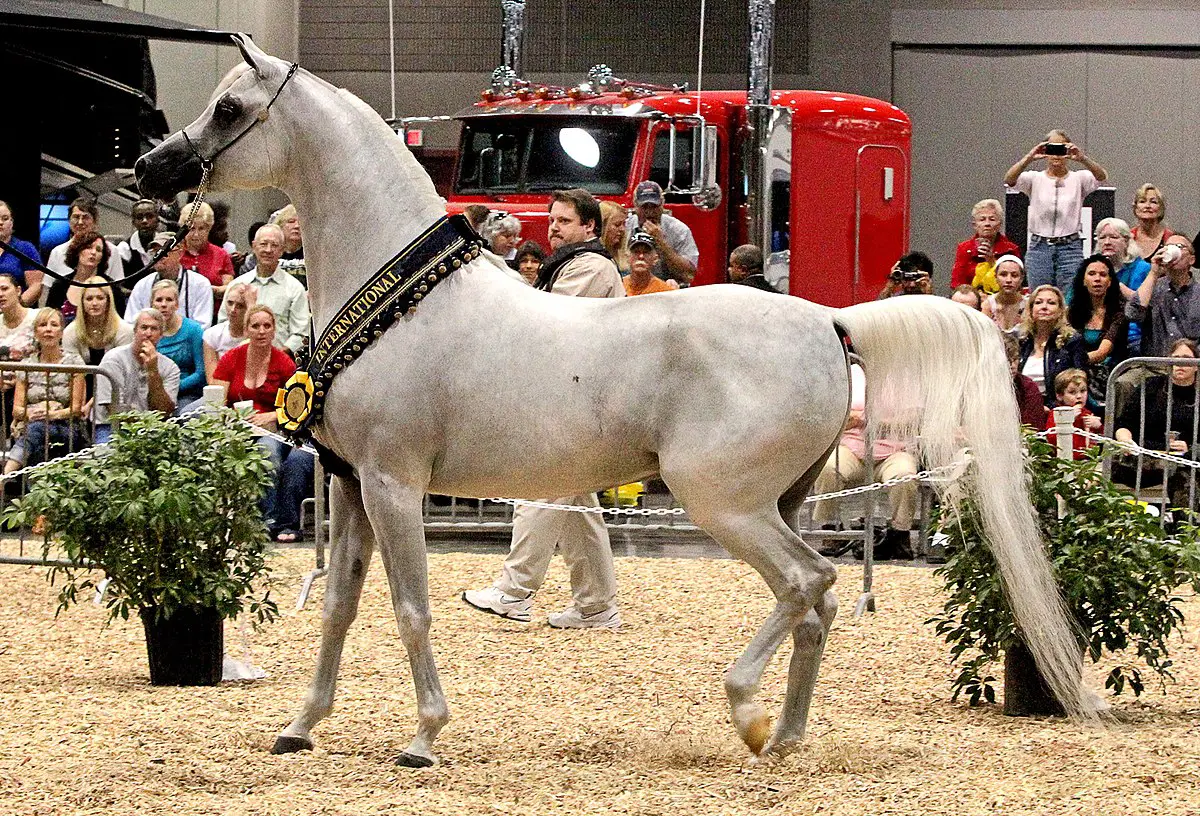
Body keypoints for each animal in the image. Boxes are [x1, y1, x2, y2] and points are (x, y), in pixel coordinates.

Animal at [135, 35, 1092, 767]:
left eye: (230, 110)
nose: (151, 167)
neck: (401, 294)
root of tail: (828, 319)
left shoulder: (394, 483)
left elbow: (409, 610)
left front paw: (424, 737)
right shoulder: (349, 484)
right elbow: (337, 609)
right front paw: (300, 727)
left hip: (724, 502)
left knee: (809, 581)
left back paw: (745, 708)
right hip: (780, 500)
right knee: (816, 605)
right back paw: (780, 737)